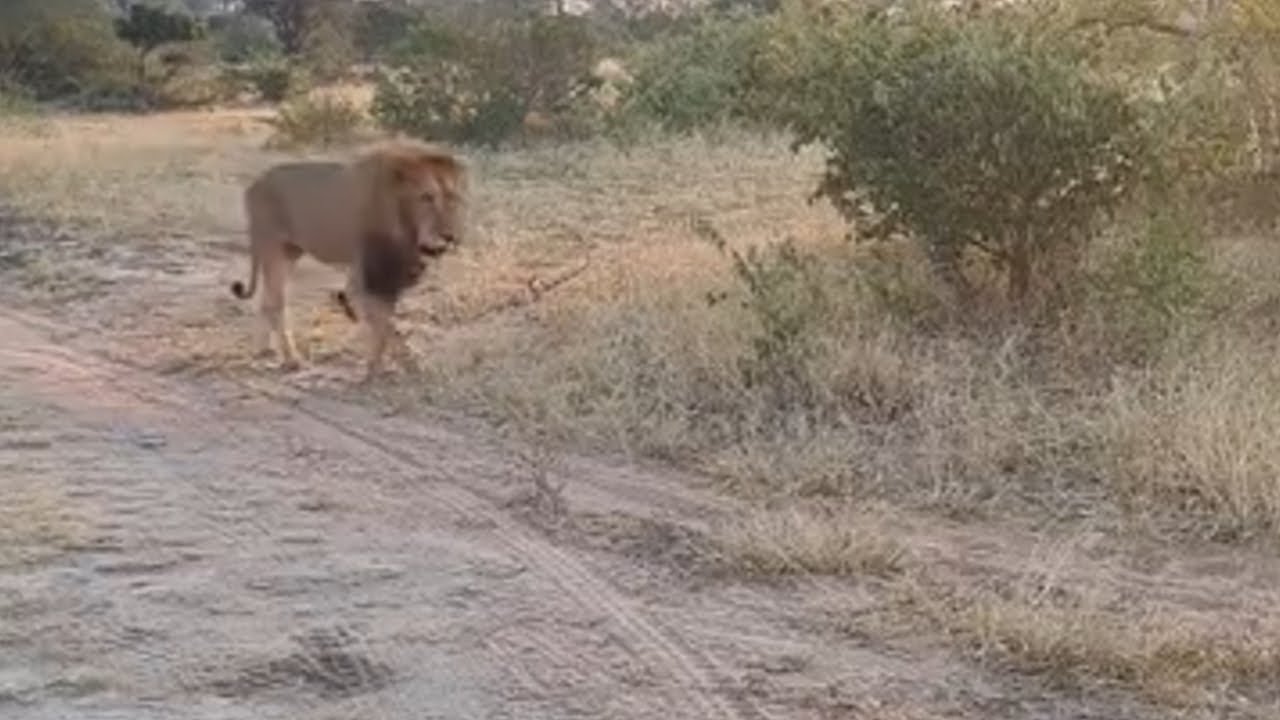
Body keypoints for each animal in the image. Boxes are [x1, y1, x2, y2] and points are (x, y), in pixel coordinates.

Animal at [230, 139, 467, 379]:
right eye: (426, 197)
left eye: (453, 199)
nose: (450, 236)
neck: (404, 226)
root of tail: (255, 184)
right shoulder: (369, 274)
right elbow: (384, 324)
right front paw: (398, 365)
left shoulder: (385, 275)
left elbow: (385, 321)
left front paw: (380, 364)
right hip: (274, 248)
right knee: (277, 305)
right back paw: (291, 360)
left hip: (290, 253)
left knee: (267, 301)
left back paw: (263, 350)